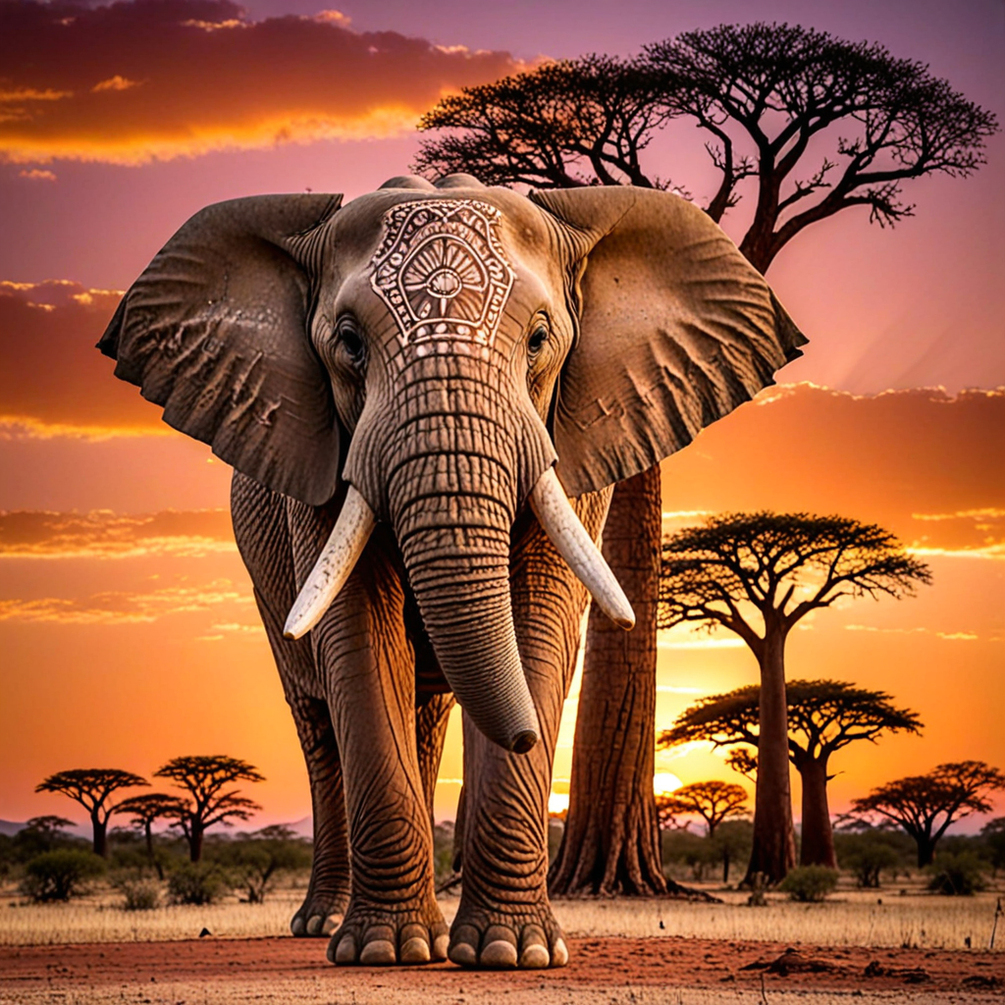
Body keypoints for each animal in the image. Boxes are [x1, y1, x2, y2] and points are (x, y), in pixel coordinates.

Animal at [98, 173, 804, 968]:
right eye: (348, 343)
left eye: (539, 339)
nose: (525, 736)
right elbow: (358, 635)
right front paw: (386, 950)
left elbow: (540, 624)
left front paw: (513, 952)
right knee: (319, 721)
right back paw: (328, 922)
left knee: (427, 715)